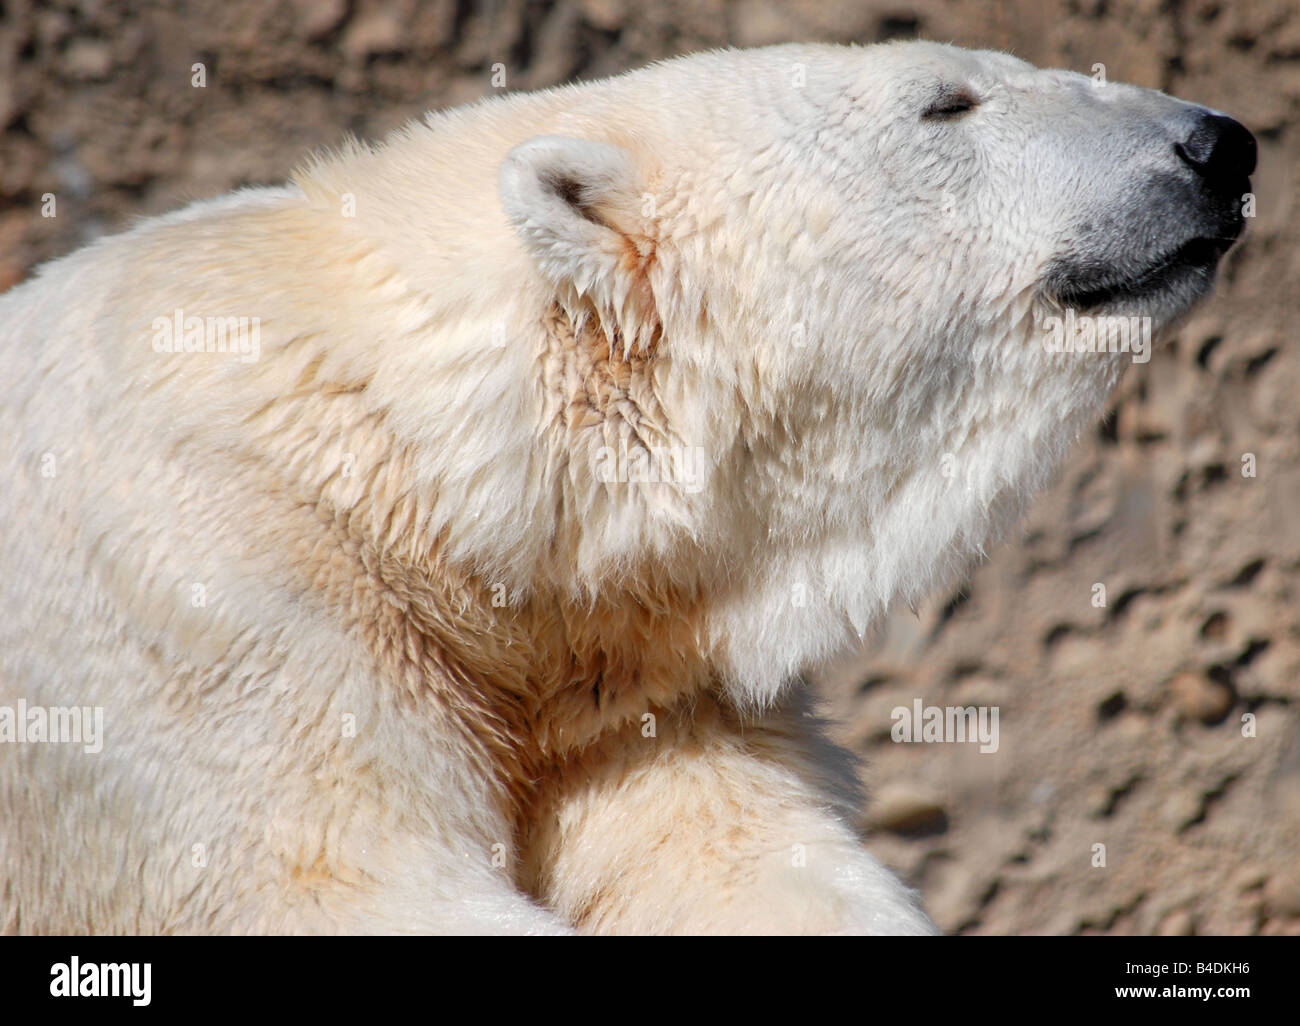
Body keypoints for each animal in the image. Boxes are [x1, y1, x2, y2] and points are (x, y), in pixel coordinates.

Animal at [0, 40, 1253, 934]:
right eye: (946, 103)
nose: (1219, 142)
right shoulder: (210, 595)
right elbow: (319, 880)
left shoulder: (625, 680)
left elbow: (737, 863)